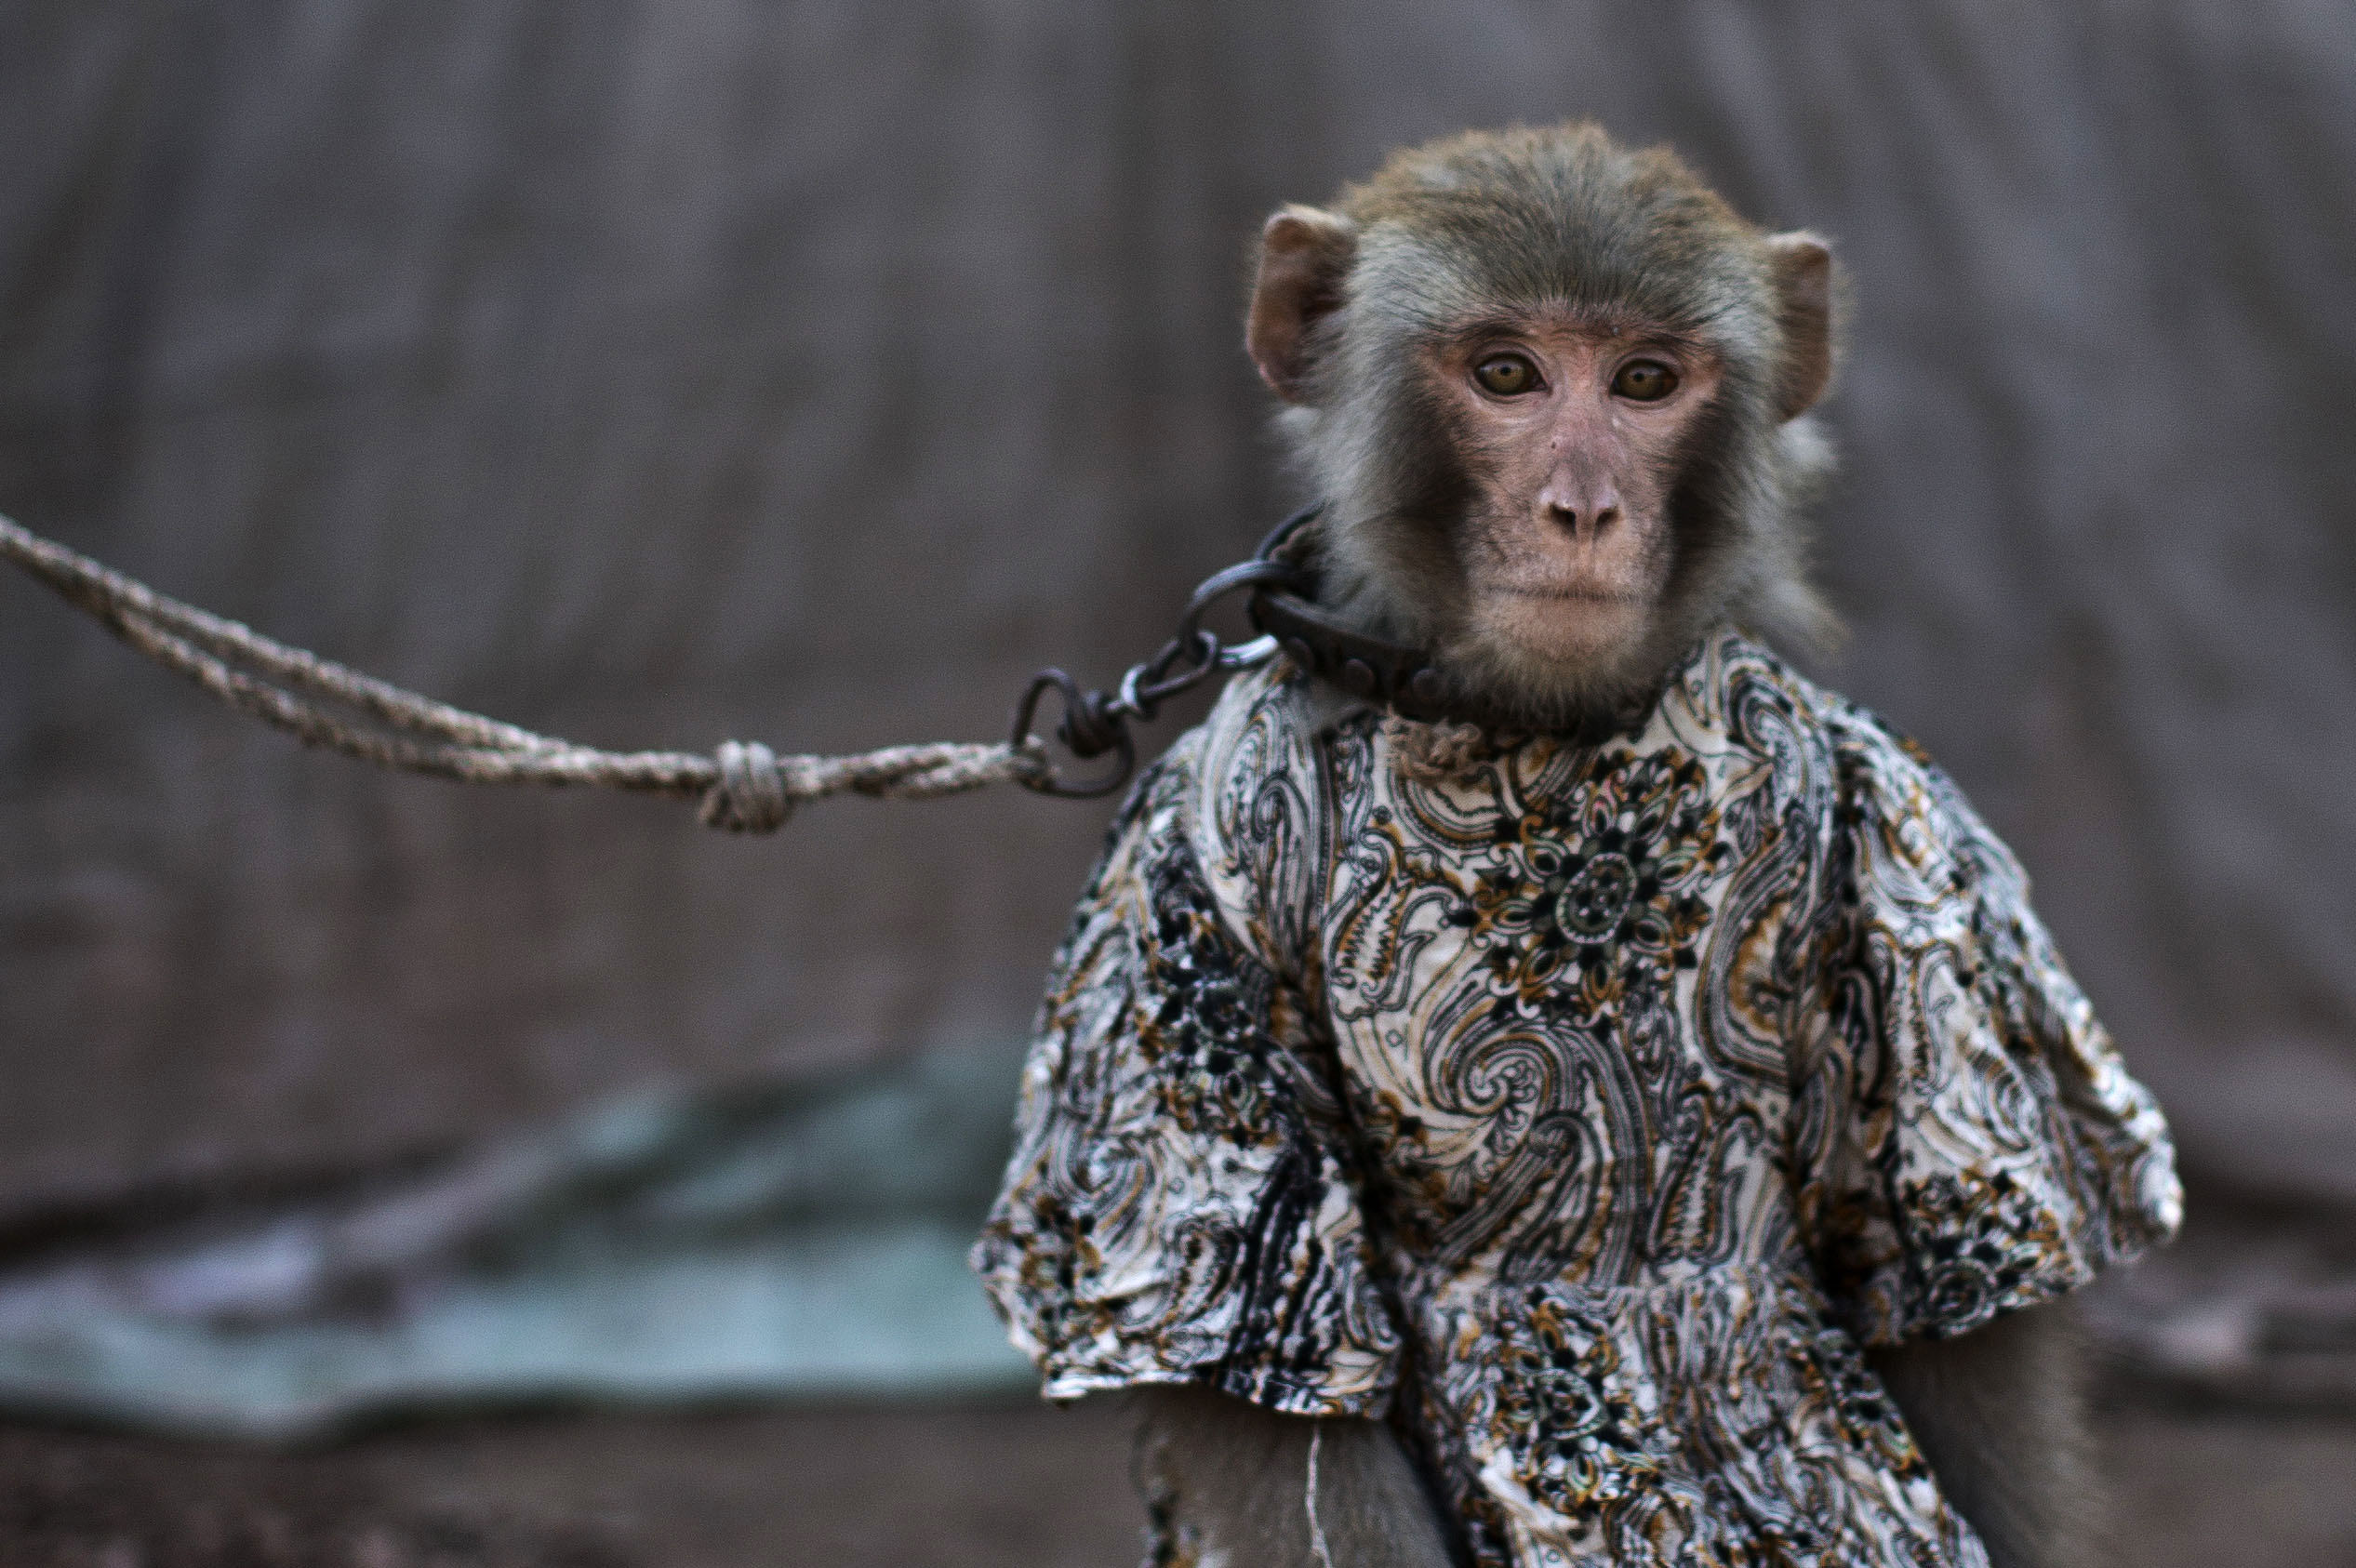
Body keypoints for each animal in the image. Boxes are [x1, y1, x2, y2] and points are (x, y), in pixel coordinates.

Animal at [974, 123, 2179, 1568]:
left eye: (1645, 382)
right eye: (1507, 374)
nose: (1584, 507)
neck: (1526, 732)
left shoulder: (1911, 846)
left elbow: (1961, 1329)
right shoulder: (1173, 896)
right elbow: (1273, 1392)